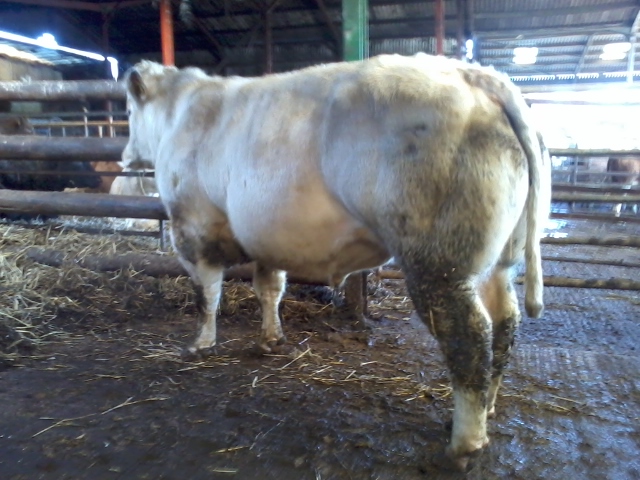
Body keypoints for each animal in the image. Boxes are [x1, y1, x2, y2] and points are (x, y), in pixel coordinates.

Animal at [121, 53, 551, 471]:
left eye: (127, 110)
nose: (125, 157)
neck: (181, 109)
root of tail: (473, 74)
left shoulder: (192, 227)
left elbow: (206, 295)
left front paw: (200, 344)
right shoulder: (268, 239)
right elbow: (269, 289)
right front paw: (270, 338)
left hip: (439, 265)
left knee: (469, 337)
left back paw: (464, 443)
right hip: (499, 261)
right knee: (504, 321)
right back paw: (489, 407)